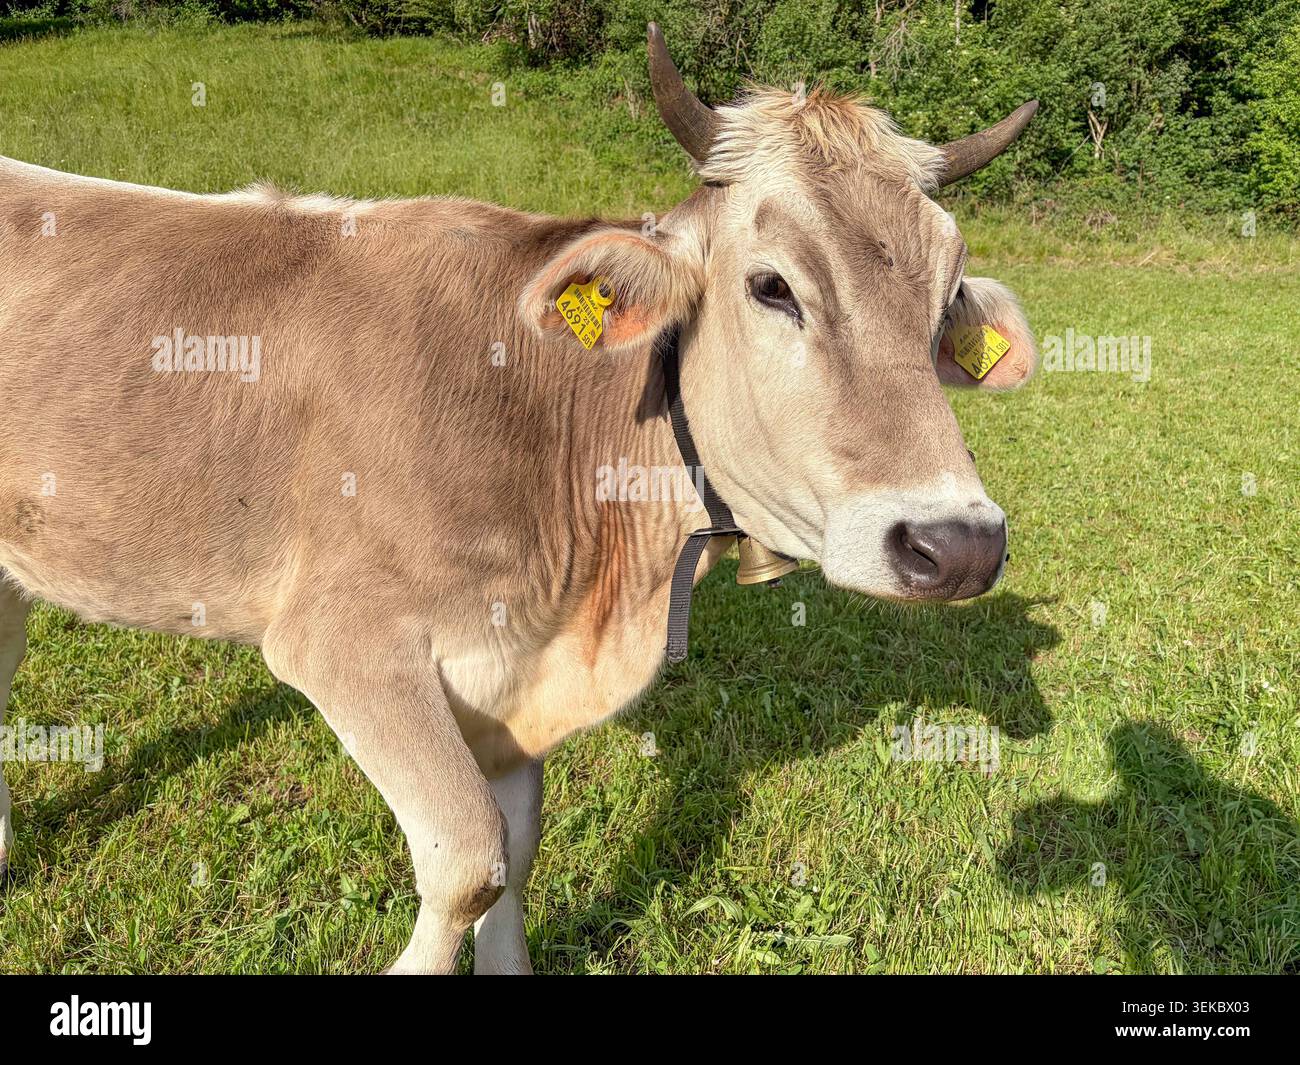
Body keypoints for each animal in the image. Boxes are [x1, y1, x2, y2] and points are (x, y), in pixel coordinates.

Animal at [0, 24, 1039, 974]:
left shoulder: (508, 676)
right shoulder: (344, 642)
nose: (958, 545)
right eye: (771, 285)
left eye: (946, 300)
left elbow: (523, 849)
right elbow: (471, 862)